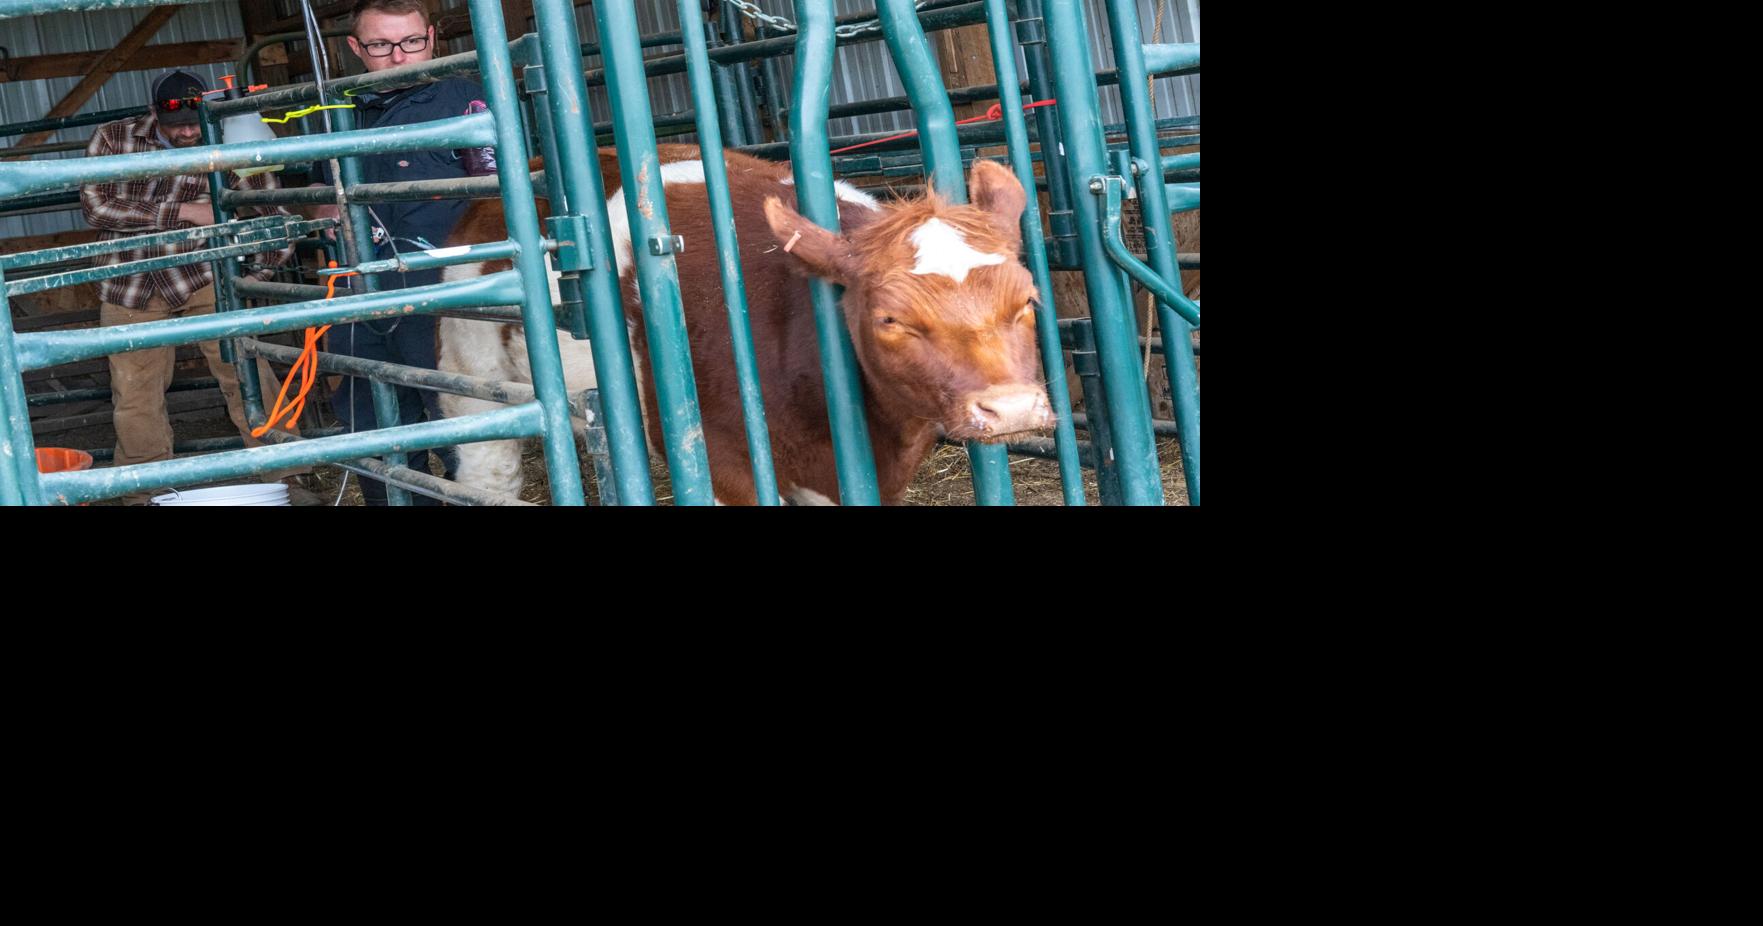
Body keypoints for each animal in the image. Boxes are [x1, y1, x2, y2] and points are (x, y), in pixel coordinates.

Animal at [436, 145, 1053, 504]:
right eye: (890, 317)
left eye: (1029, 300)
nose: (1012, 409)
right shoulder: (722, 462)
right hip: (474, 382)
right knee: (488, 472)